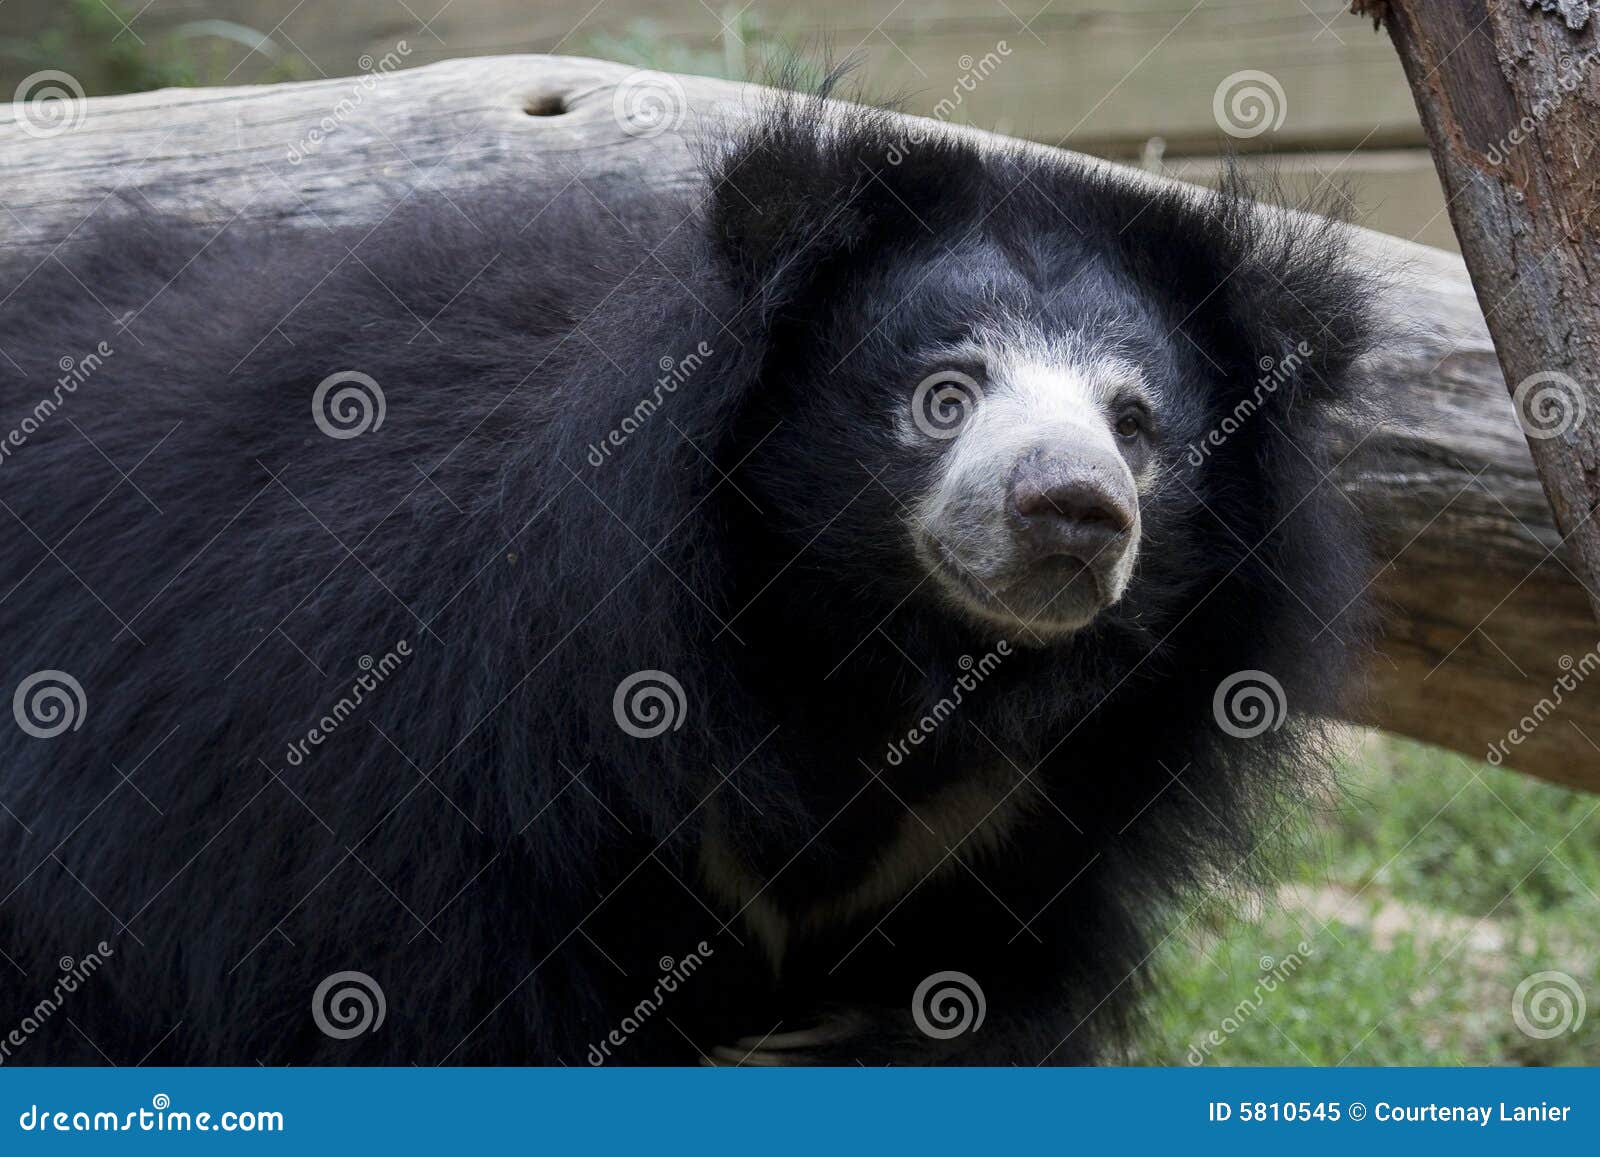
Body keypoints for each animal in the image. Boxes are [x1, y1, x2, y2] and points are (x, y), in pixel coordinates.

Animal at [0, 92, 1375, 1065]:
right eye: (945, 391)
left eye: (1136, 423)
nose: (1072, 512)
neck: (874, 667)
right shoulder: (421, 766)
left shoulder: (1016, 835)